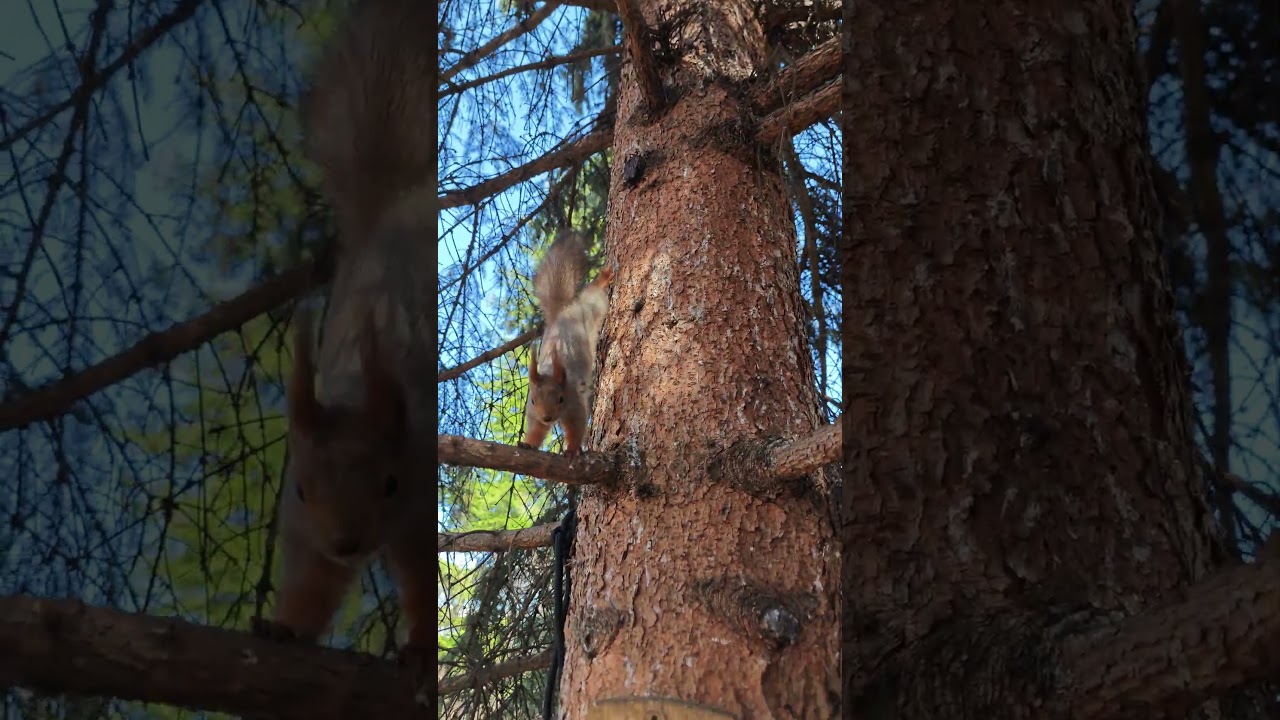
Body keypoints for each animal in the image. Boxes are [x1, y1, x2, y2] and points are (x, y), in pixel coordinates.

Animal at [254, 0, 435, 662]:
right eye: (302, 490)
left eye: (388, 483)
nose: (348, 543)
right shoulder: (304, 530)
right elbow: (312, 584)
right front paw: (283, 627)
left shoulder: (418, 504)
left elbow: (422, 583)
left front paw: (420, 647)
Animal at [519, 231, 614, 457]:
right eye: (533, 400)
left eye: (561, 399)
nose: (547, 417)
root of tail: (562, 312)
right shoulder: (533, 414)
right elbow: (536, 431)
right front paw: (528, 444)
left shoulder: (574, 403)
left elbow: (576, 426)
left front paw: (571, 449)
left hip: (593, 306)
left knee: (591, 293)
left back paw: (602, 278)